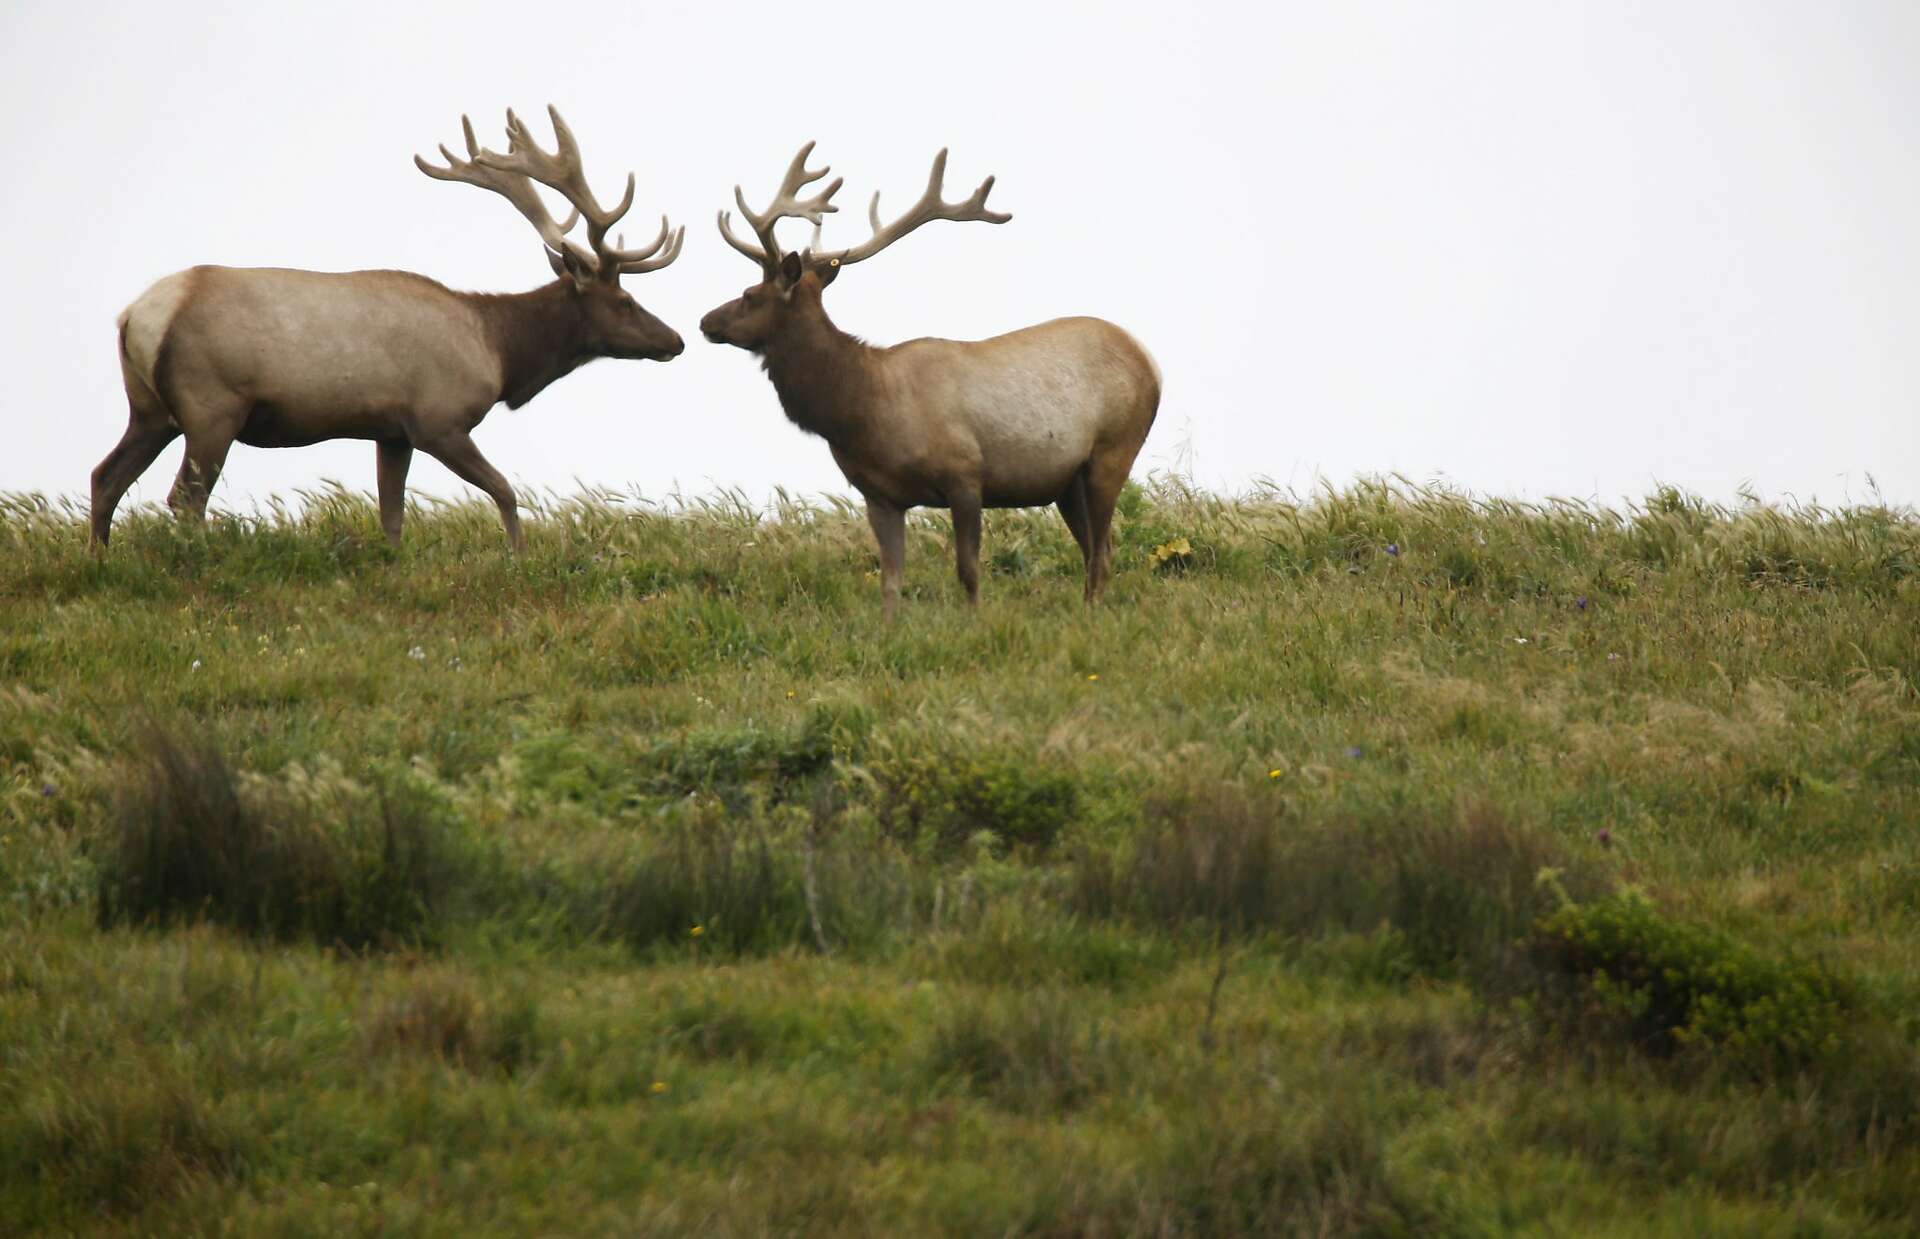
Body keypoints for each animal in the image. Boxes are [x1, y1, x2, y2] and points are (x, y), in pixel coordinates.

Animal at [91, 106, 686, 552]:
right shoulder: (438, 419)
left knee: (106, 477)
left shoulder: (391, 431)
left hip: (150, 409)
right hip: (212, 406)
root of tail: (137, 315)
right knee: (183, 498)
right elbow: (505, 490)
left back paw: (100, 558)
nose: (675, 341)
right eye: (626, 301)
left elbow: (392, 515)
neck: (497, 349)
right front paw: (519, 555)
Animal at [699, 144, 1160, 617]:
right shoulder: (879, 495)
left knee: (1102, 550)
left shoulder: (965, 473)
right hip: (1066, 482)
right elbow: (890, 582)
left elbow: (968, 569)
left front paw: (975, 621)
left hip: (1113, 450)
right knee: (1094, 549)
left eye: (750, 295)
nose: (705, 321)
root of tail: (1148, 358)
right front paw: (890, 626)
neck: (861, 408)